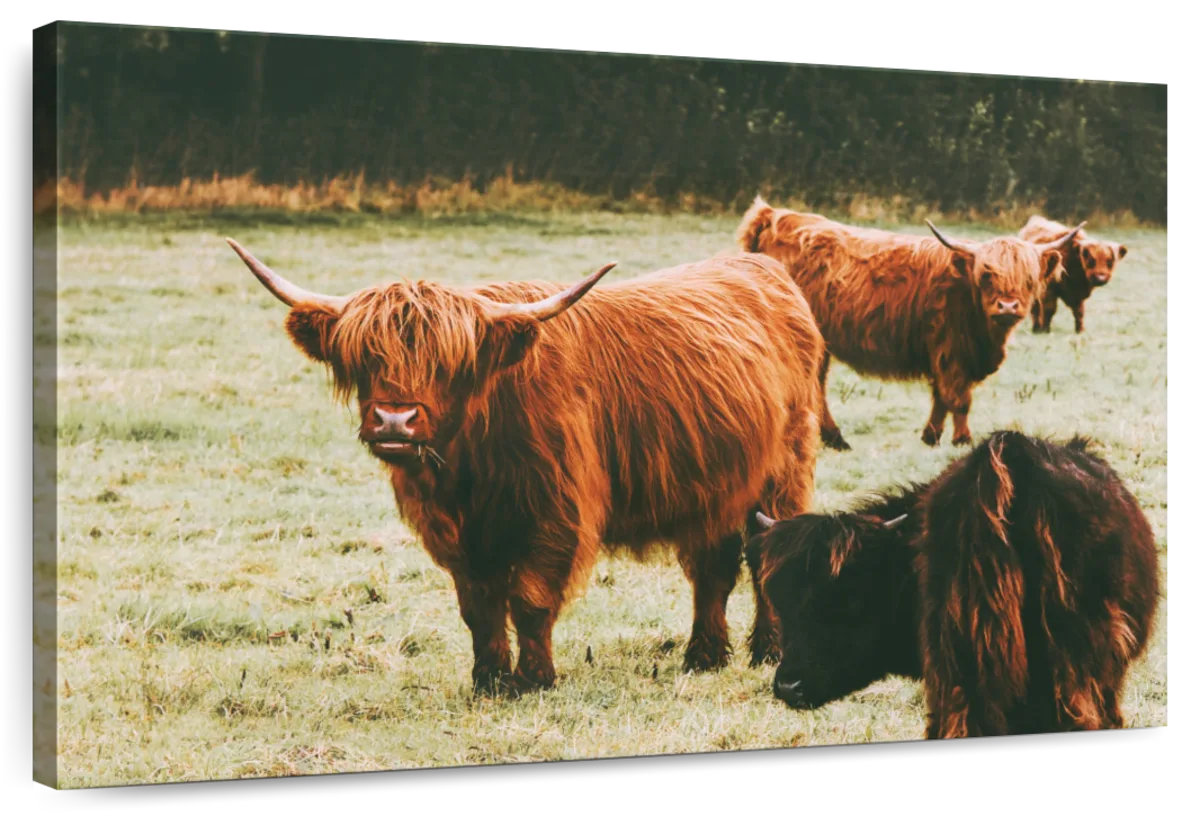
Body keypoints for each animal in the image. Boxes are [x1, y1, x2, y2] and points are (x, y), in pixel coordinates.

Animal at [227, 239, 823, 693]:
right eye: (364, 357)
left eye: (449, 364)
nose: (395, 420)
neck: (468, 471)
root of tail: (763, 269)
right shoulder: (456, 533)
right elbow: (479, 606)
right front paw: (488, 680)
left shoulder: (557, 513)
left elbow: (531, 600)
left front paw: (534, 680)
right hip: (713, 488)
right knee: (712, 569)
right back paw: (704, 656)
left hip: (781, 476)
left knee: (765, 560)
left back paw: (767, 653)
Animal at [737, 198, 1082, 449]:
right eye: (987, 275)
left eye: (1028, 278)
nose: (1008, 306)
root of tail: (774, 216)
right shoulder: (952, 350)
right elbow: (959, 398)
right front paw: (962, 439)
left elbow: (941, 397)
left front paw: (931, 436)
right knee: (813, 389)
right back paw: (835, 438)